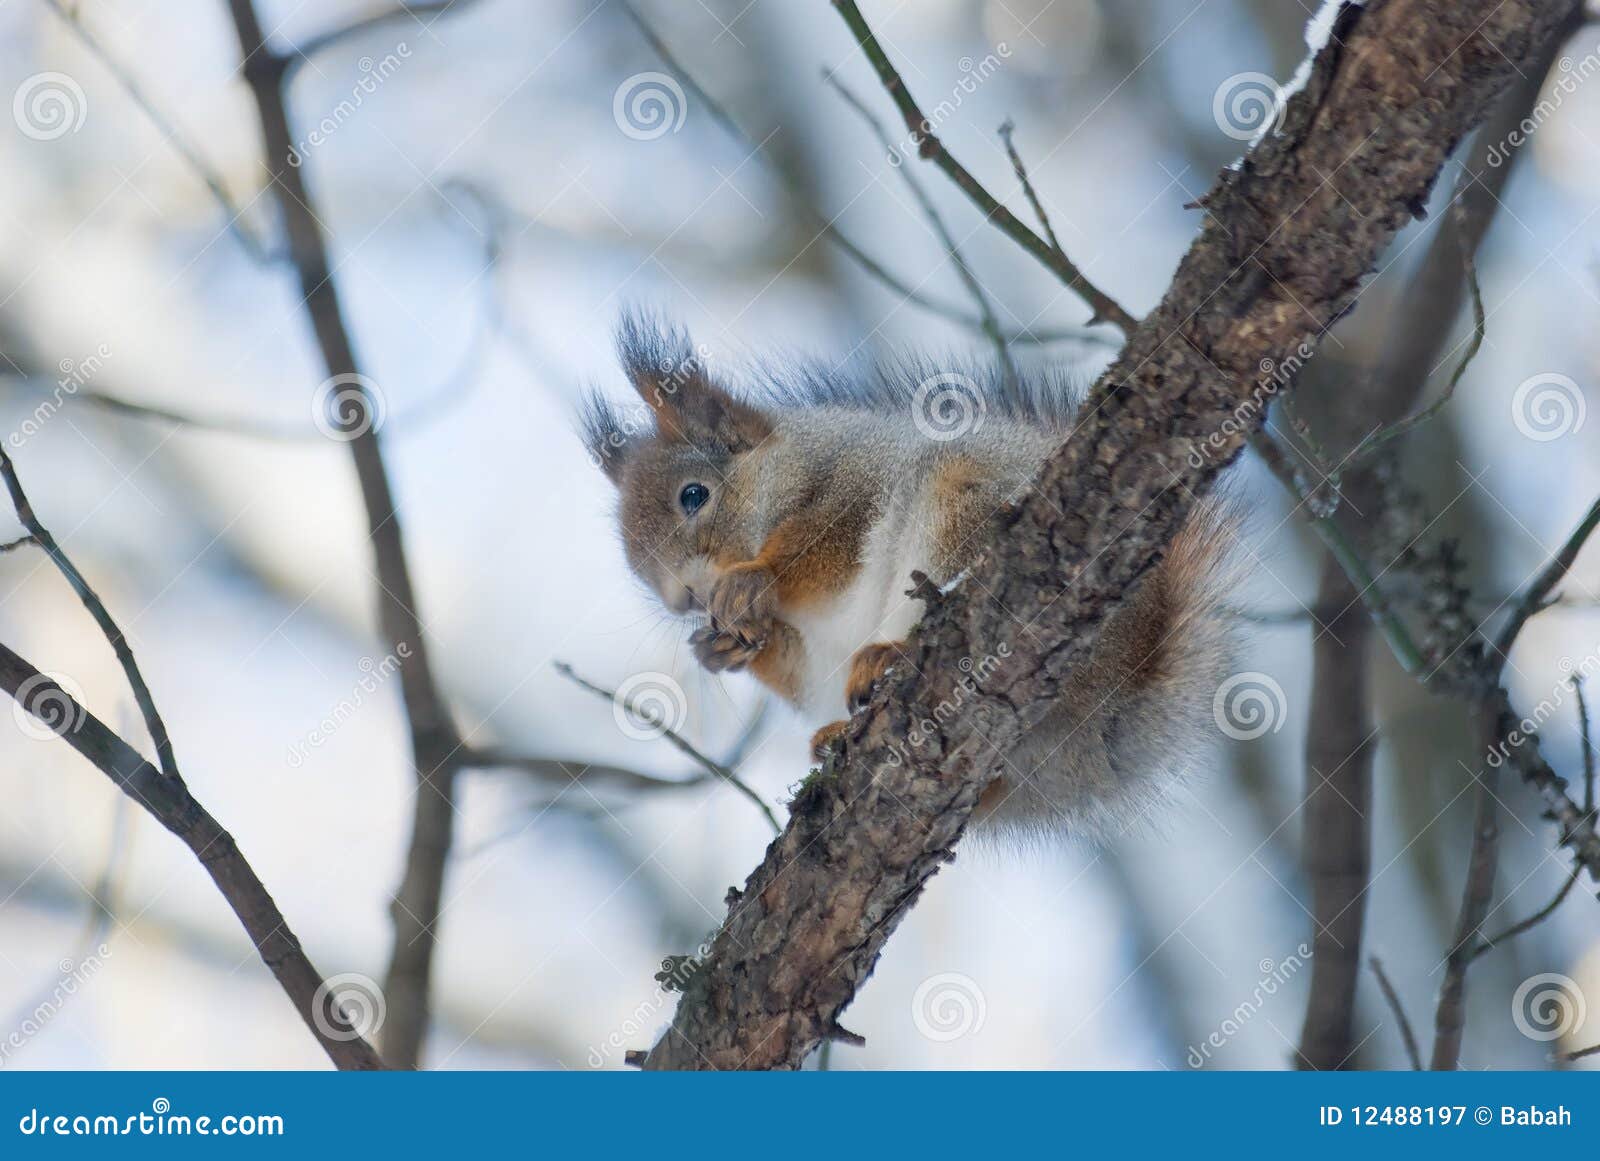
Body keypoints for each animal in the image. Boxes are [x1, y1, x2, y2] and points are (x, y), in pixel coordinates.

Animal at [583, 314, 1237, 840]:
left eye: (694, 495)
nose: (682, 599)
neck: (783, 471)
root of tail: (1121, 692)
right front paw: (722, 647)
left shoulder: (854, 483)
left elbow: (818, 552)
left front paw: (752, 580)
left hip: (962, 506)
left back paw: (888, 656)